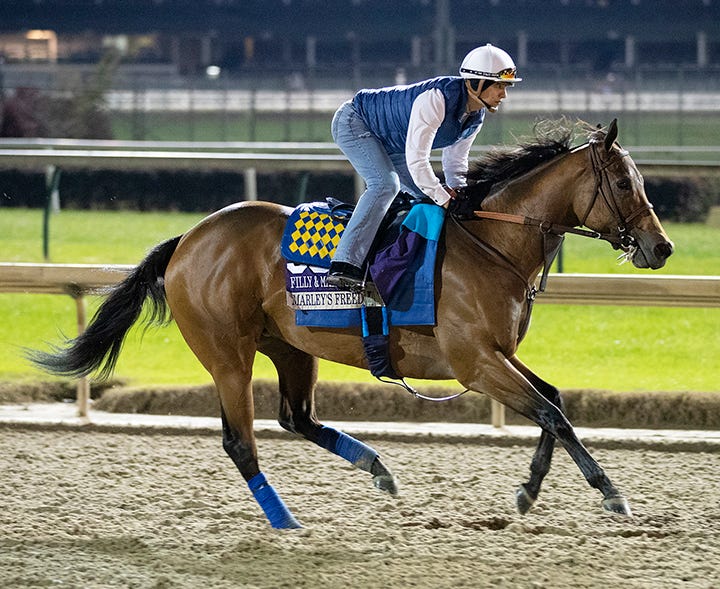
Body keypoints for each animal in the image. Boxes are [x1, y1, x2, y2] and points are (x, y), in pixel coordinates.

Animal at [30, 119, 674, 529]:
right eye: (624, 183)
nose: (661, 247)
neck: (491, 244)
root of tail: (188, 238)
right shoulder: (475, 362)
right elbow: (552, 414)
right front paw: (612, 496)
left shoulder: (499, 353)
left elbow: (553, 402)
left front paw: (527, 492)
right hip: (227, 354)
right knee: (242, 441)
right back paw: (286, 520)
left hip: (290, 345)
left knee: (297, 417)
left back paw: (377, 469)